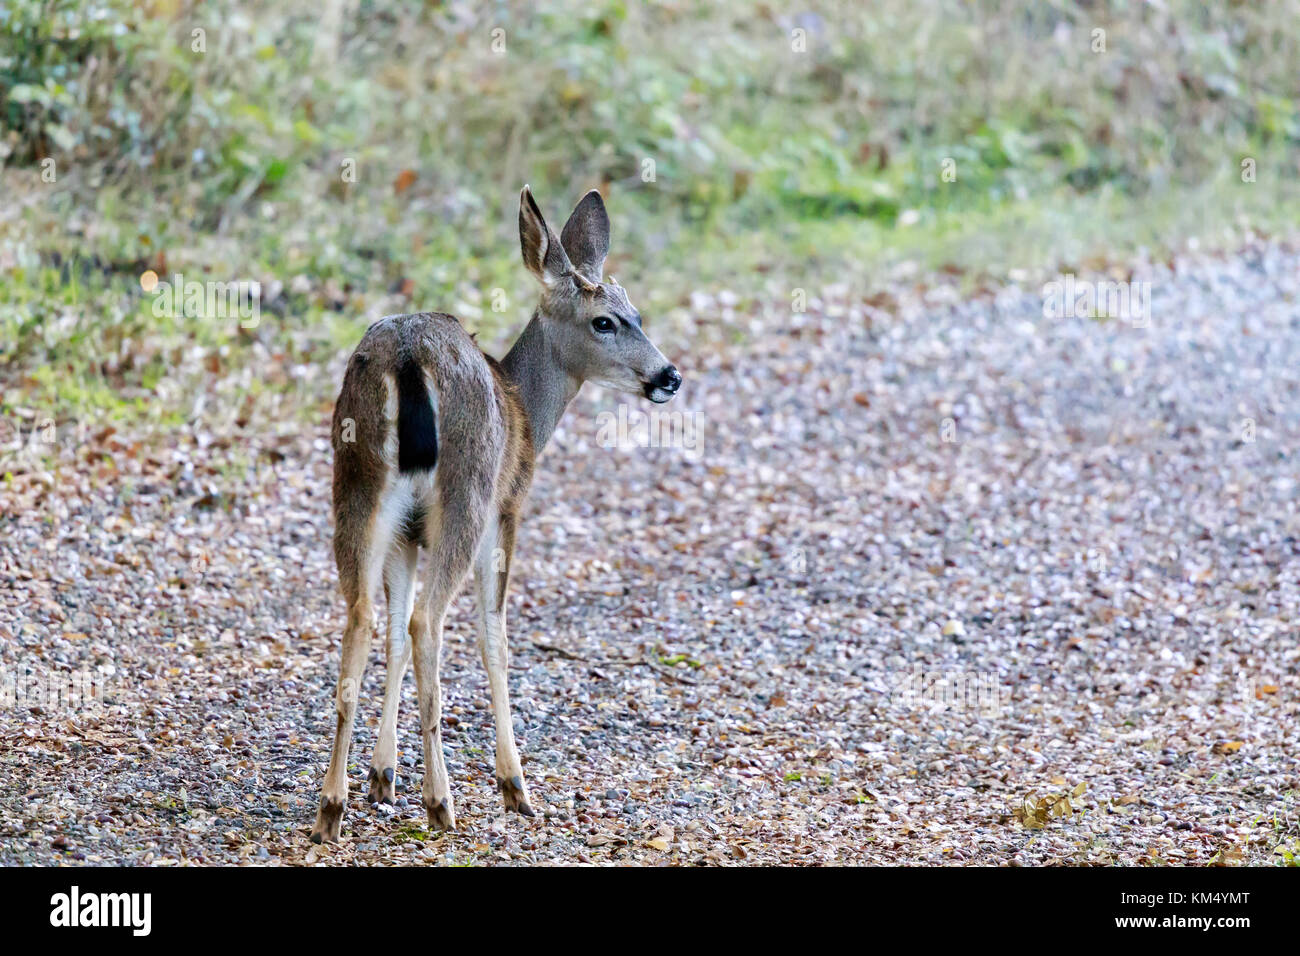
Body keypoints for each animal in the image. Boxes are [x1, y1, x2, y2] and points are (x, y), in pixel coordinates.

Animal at [310, 186, 682, 843]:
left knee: (363, 618)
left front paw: (382, 776)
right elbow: (494, 635)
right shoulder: (509, 508)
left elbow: (394, 635)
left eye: (636, 310)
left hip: (358, 486)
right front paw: (515, 786)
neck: (526, 408)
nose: (670, 376)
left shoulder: (406, 536)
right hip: (469, 491)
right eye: (604, 320)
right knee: (428, 621)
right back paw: (442, 802)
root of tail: (407, 357)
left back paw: (332, 806)